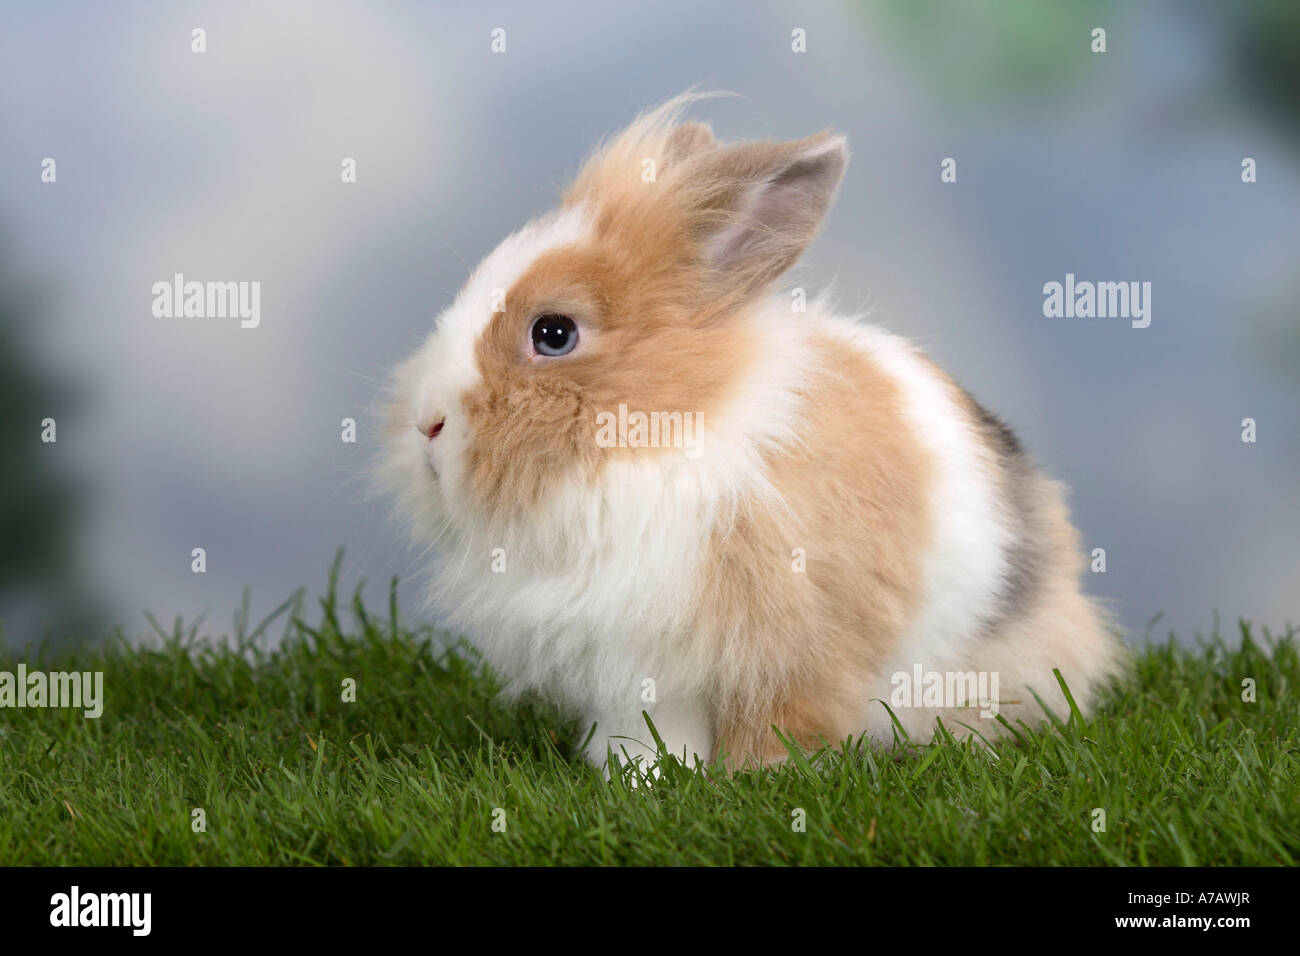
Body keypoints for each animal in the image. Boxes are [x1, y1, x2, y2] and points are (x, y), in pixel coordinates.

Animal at [378, 93, 1126, 774]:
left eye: (554, 332)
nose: (427, 424)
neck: (663, 436)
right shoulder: (634, 665)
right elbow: (645, 732)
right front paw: (636, 778)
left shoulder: (790, 651)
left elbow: (778, 723)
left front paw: (755, 779)